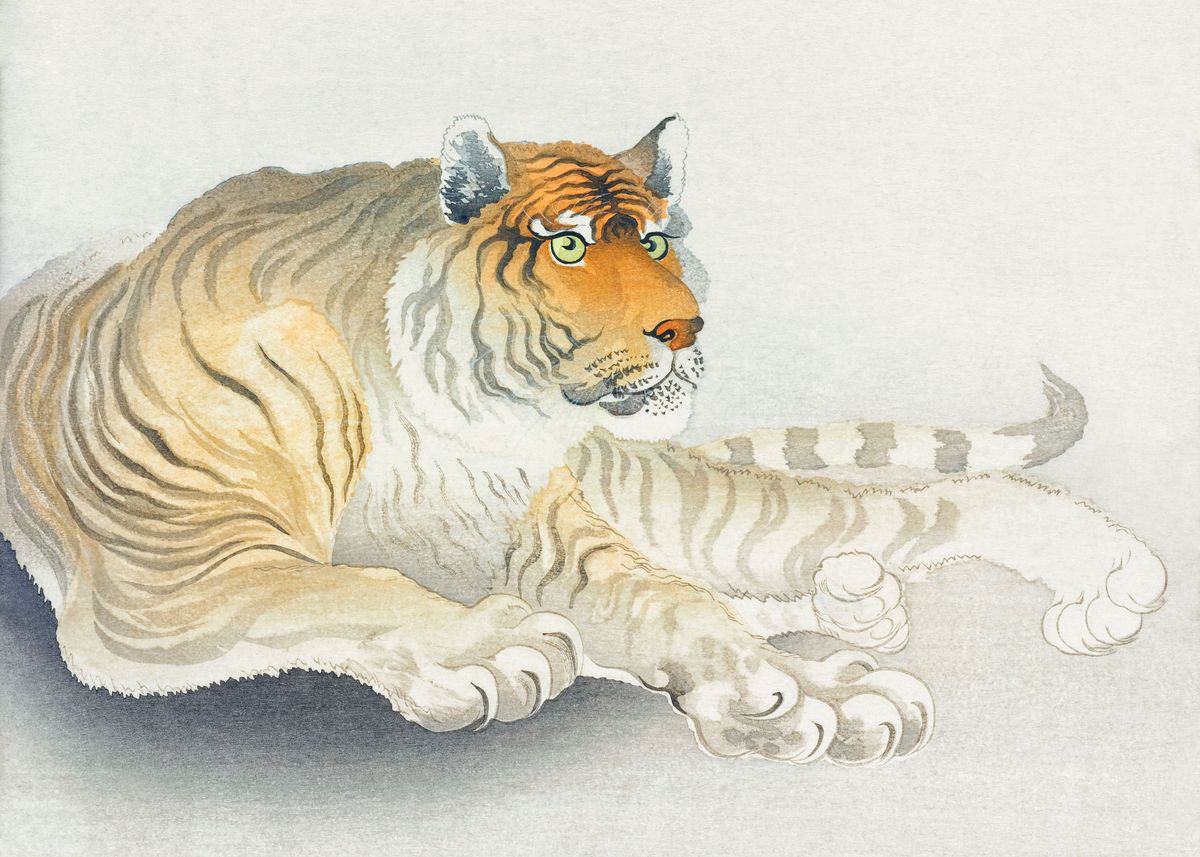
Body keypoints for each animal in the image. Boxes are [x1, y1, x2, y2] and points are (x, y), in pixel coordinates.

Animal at [0, 115, 1167, 765]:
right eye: (566, 247)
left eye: (655, 239)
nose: (686, 327)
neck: (428, 413)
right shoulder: (177, 575)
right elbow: (347, 587)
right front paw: (487, 651)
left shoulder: (546, 541)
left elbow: (672, 606)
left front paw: (813, 696)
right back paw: (859, 608)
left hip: (695, 508)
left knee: (911, 511)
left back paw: (1103, 579)